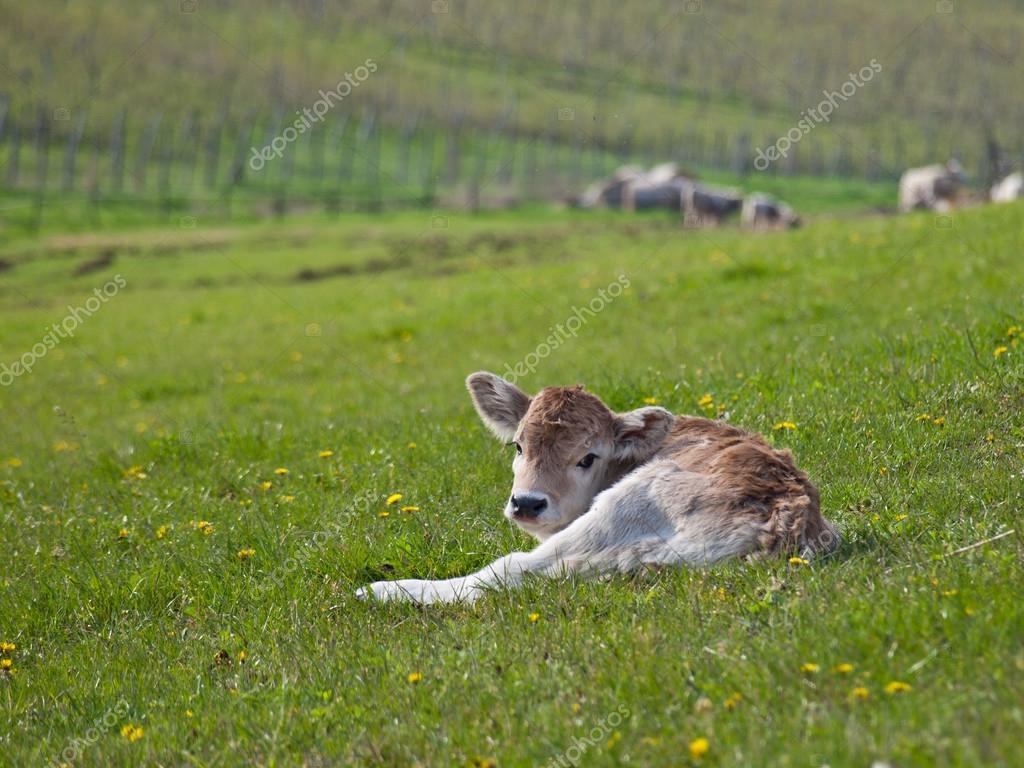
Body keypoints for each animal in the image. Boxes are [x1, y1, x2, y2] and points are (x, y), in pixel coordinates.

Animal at [357, 373, 839, 604]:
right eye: (518, 445)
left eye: (587, 457)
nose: (526, 503)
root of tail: (785, 522)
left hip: (622, 507)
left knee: (508, 571)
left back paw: (385, 592)